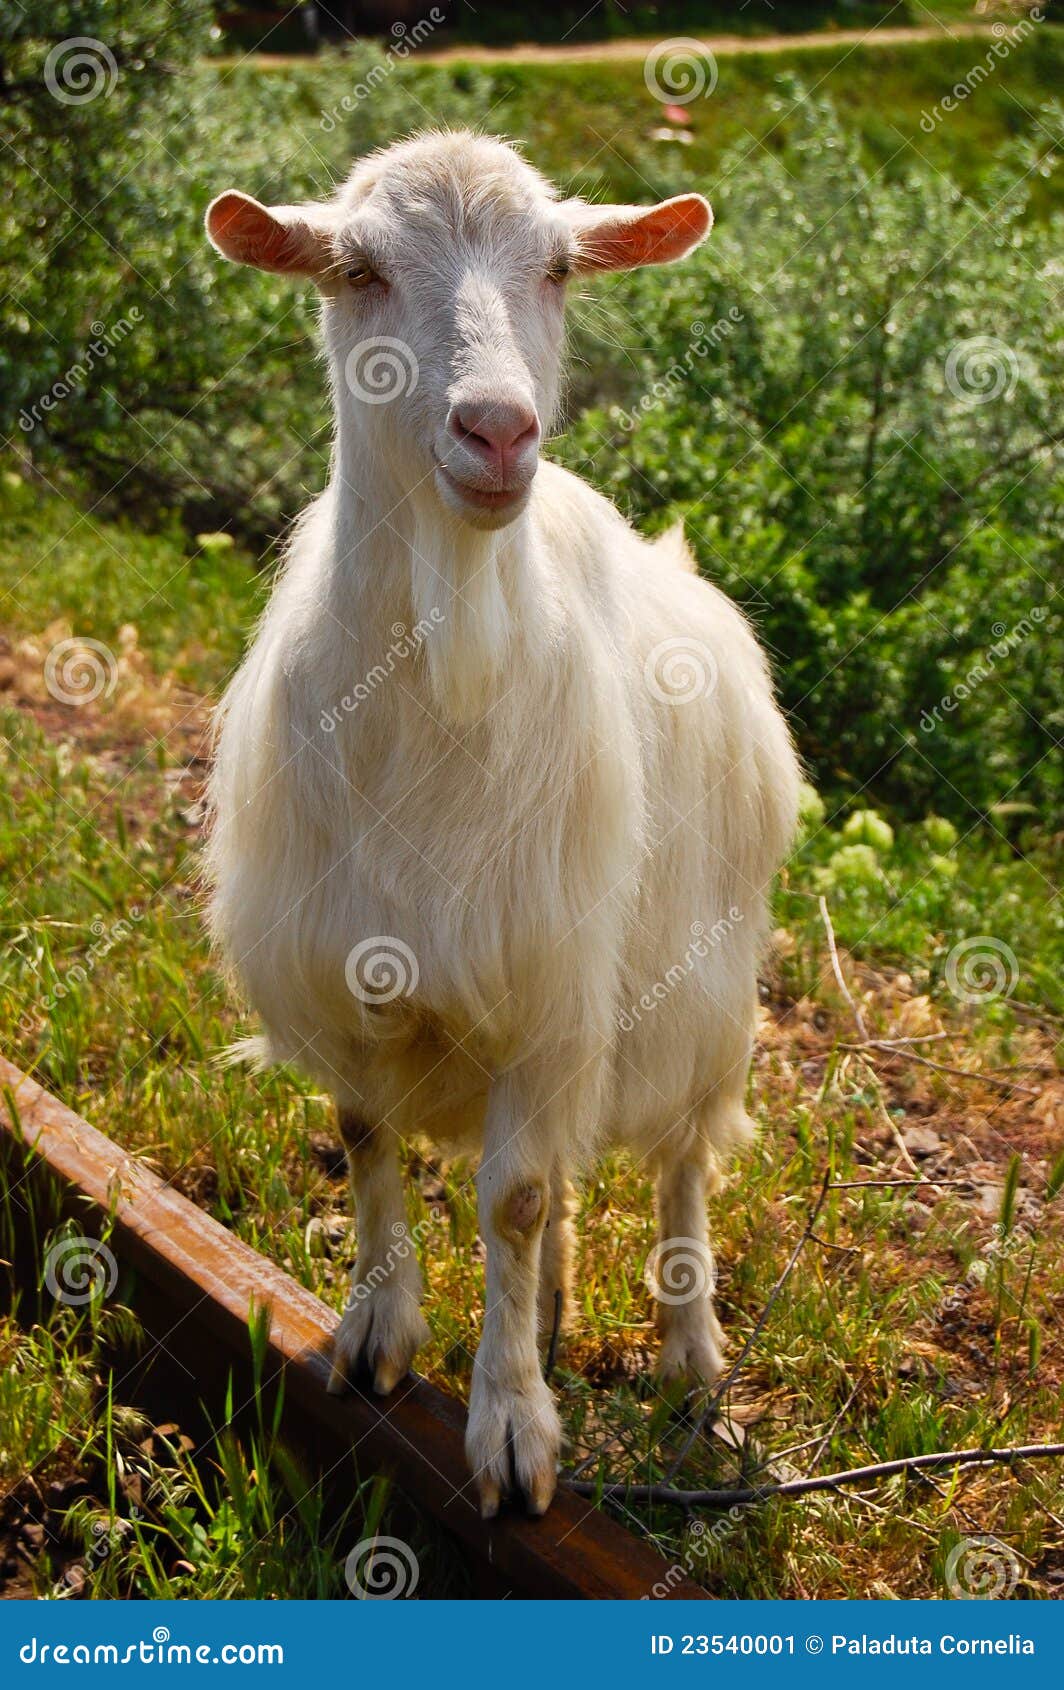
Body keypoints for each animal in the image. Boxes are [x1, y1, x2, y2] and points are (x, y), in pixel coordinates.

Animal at [204, 131, 799, 1518]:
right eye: (357, 270)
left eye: (560, 268)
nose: (495, 429)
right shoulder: (346, 966)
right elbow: (368, 1137)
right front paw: (378, 1338)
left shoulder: (548, 990)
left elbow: (515, 1198)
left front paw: (513, 1428)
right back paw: (562, 1301)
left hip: (703, 998)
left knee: (683, 1166)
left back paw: (690, 1361)